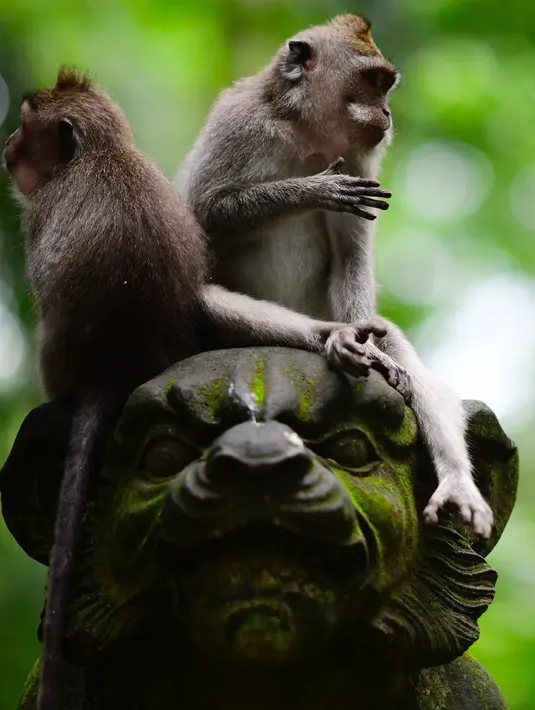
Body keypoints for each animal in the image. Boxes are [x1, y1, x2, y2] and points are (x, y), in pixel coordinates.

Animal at [177, 14, 494, 539]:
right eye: (372, 82)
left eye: (386, 85)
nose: (386, 114)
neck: (304, 129)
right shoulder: (238, 124)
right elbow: (204, 214)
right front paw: (315, 189)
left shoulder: (365, 159)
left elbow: (352, 257)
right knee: (205, 297)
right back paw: (333, 336)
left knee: (391, 343)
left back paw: (454, 477)